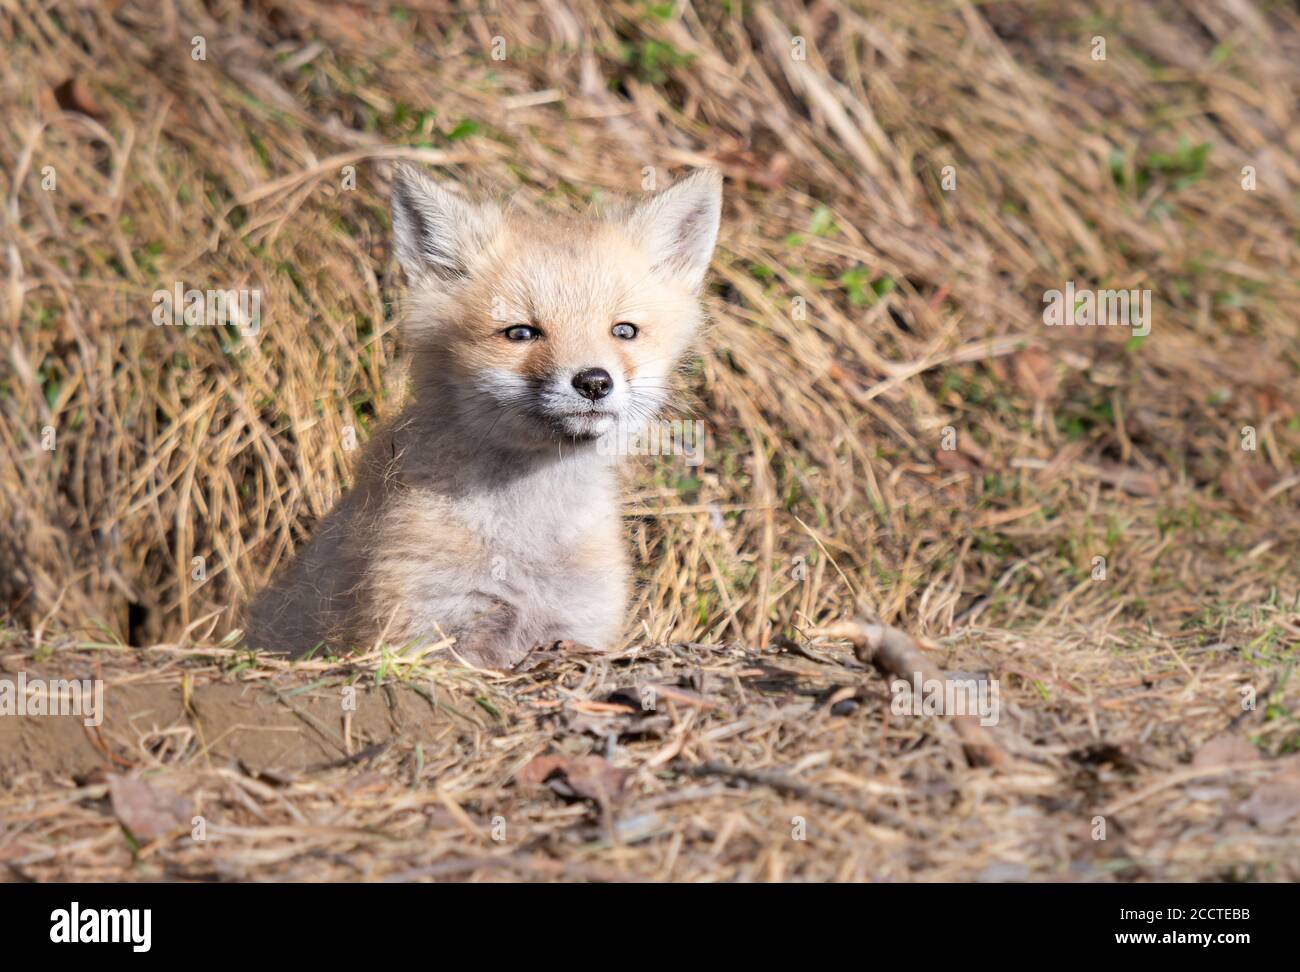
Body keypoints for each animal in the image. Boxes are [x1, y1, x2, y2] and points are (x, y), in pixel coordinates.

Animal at [245, 165, 722, 668]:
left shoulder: (574, 628)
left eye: (624, 331)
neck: (528, 538)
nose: (594, 382)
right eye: (520, 333)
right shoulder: (419, 626)